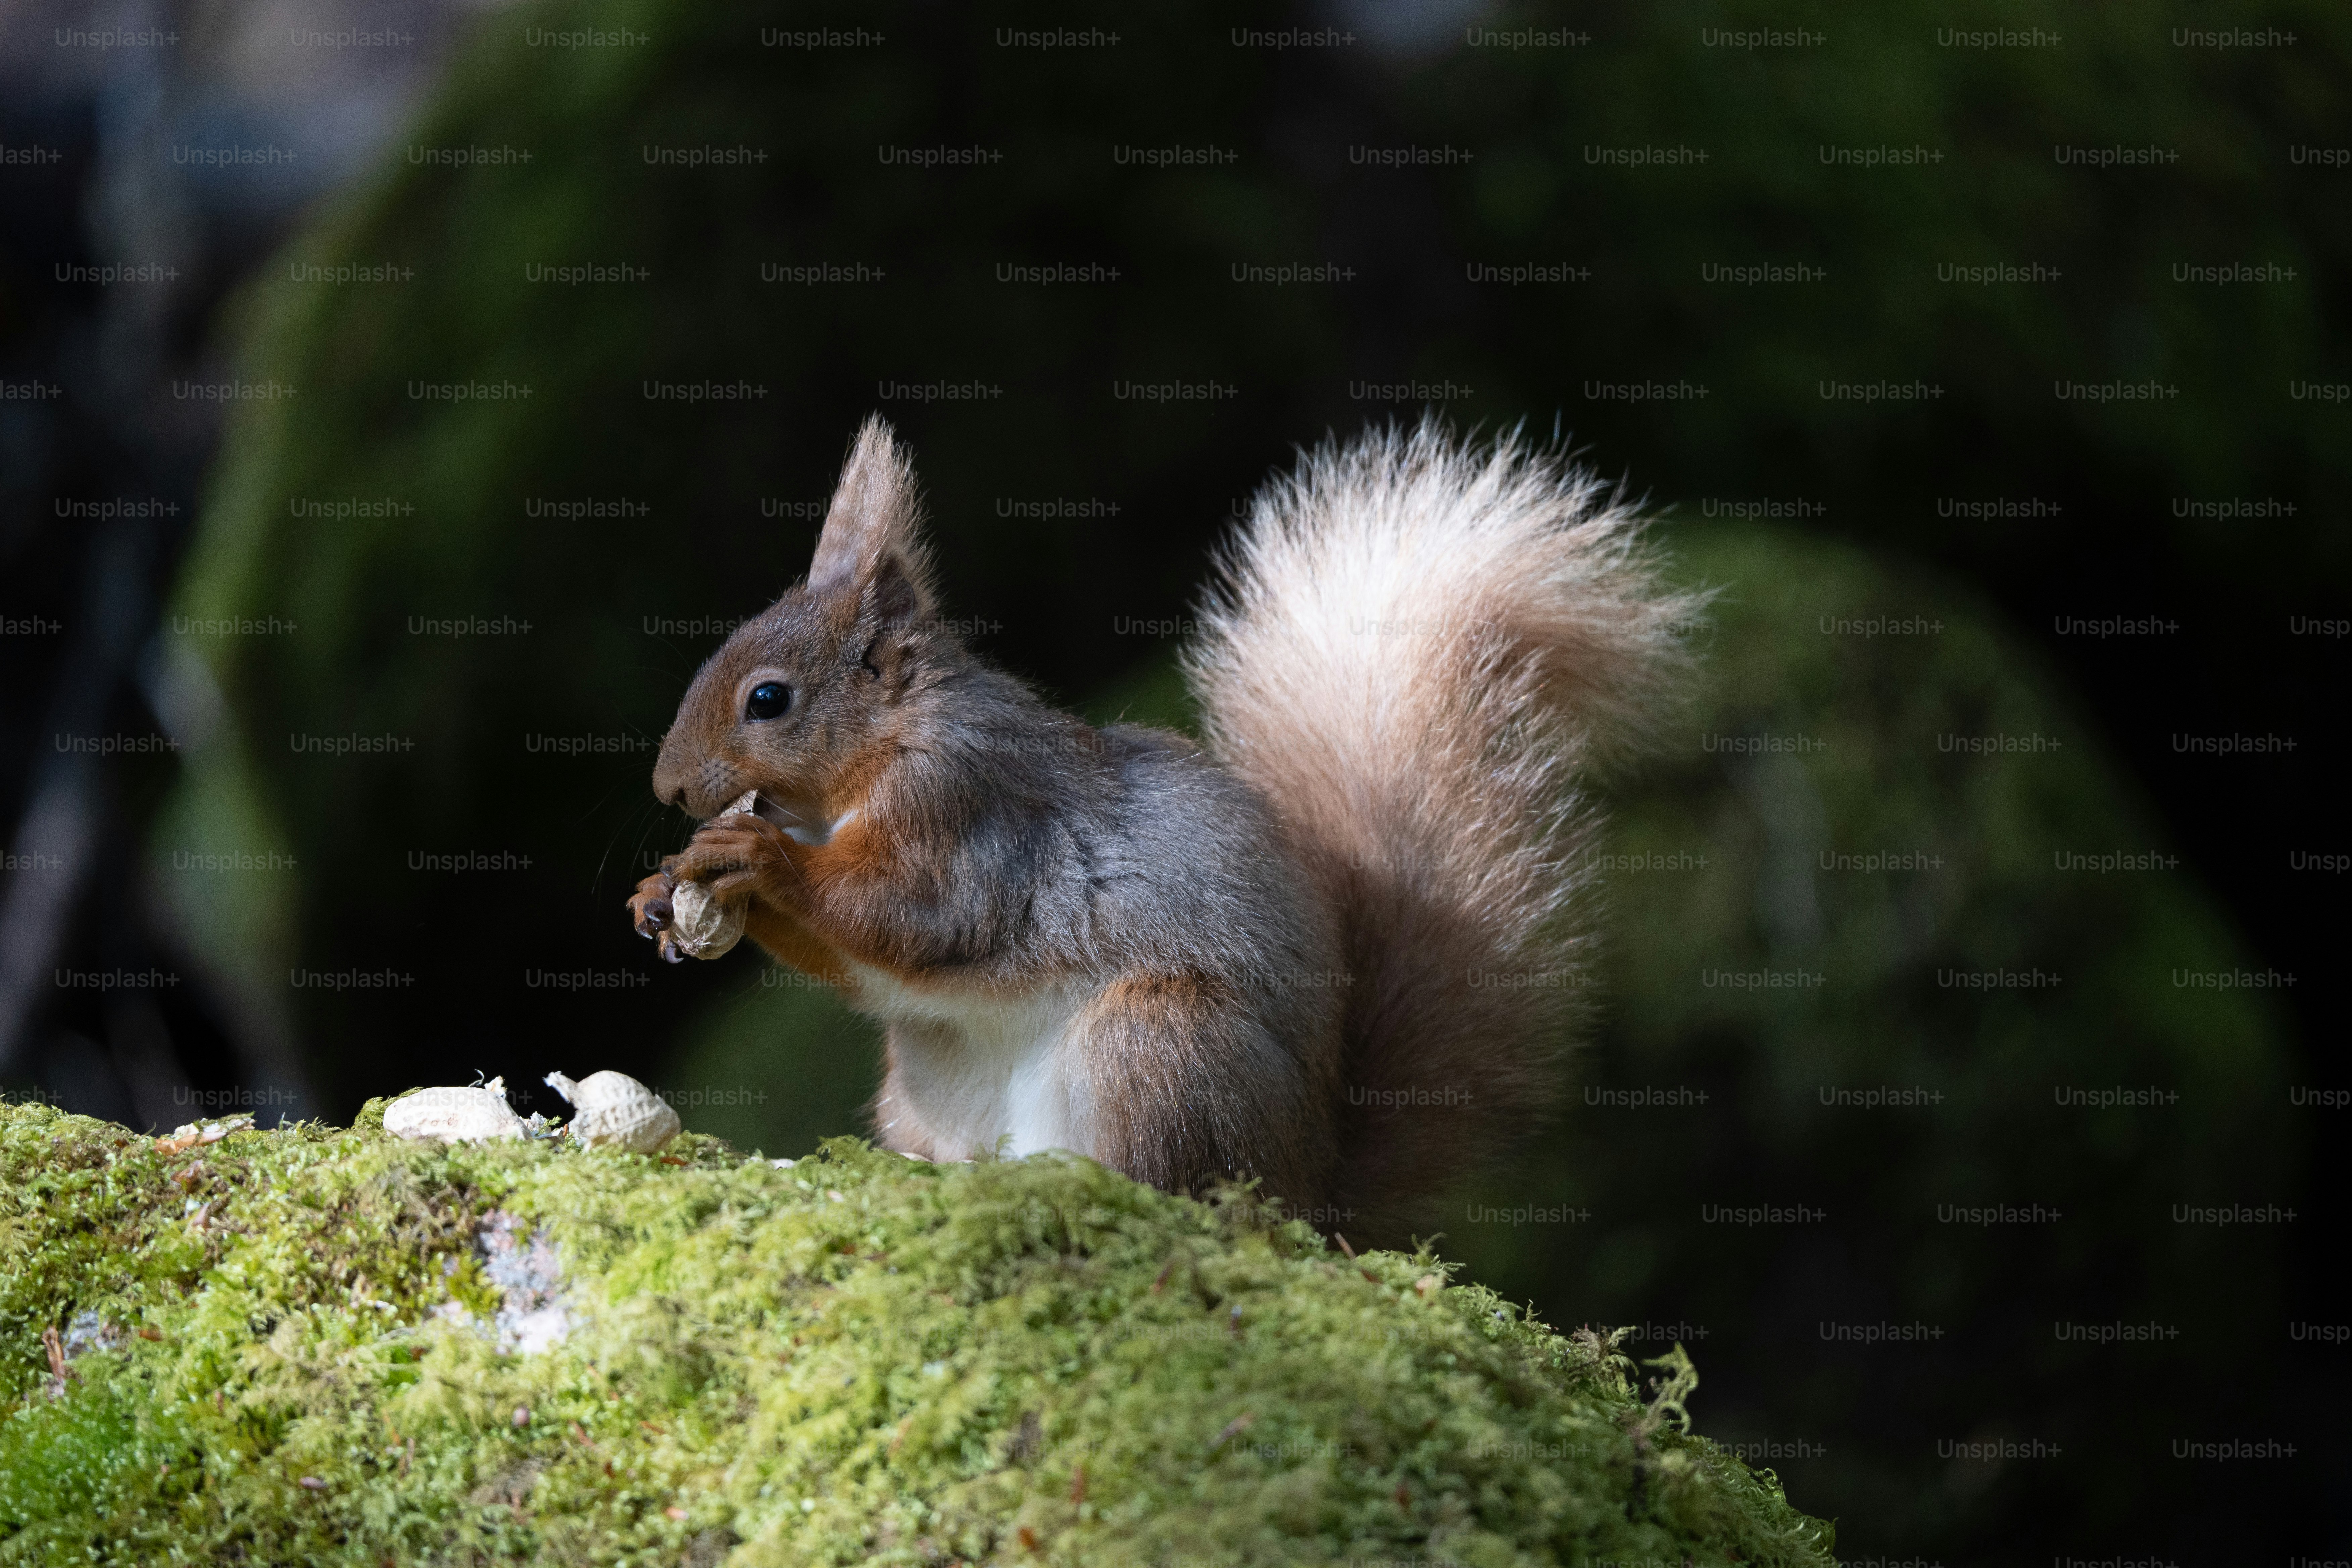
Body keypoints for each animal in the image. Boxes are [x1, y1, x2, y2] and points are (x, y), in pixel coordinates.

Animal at [628, 415, 1697, 1244]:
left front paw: (752, 856)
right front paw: (660, 892)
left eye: (769, 700)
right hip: (926, 1087)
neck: (887, 748)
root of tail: (1310, 1196)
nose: (668, 787)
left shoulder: (969, 816)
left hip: (1161, 1043)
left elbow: (916, 916)